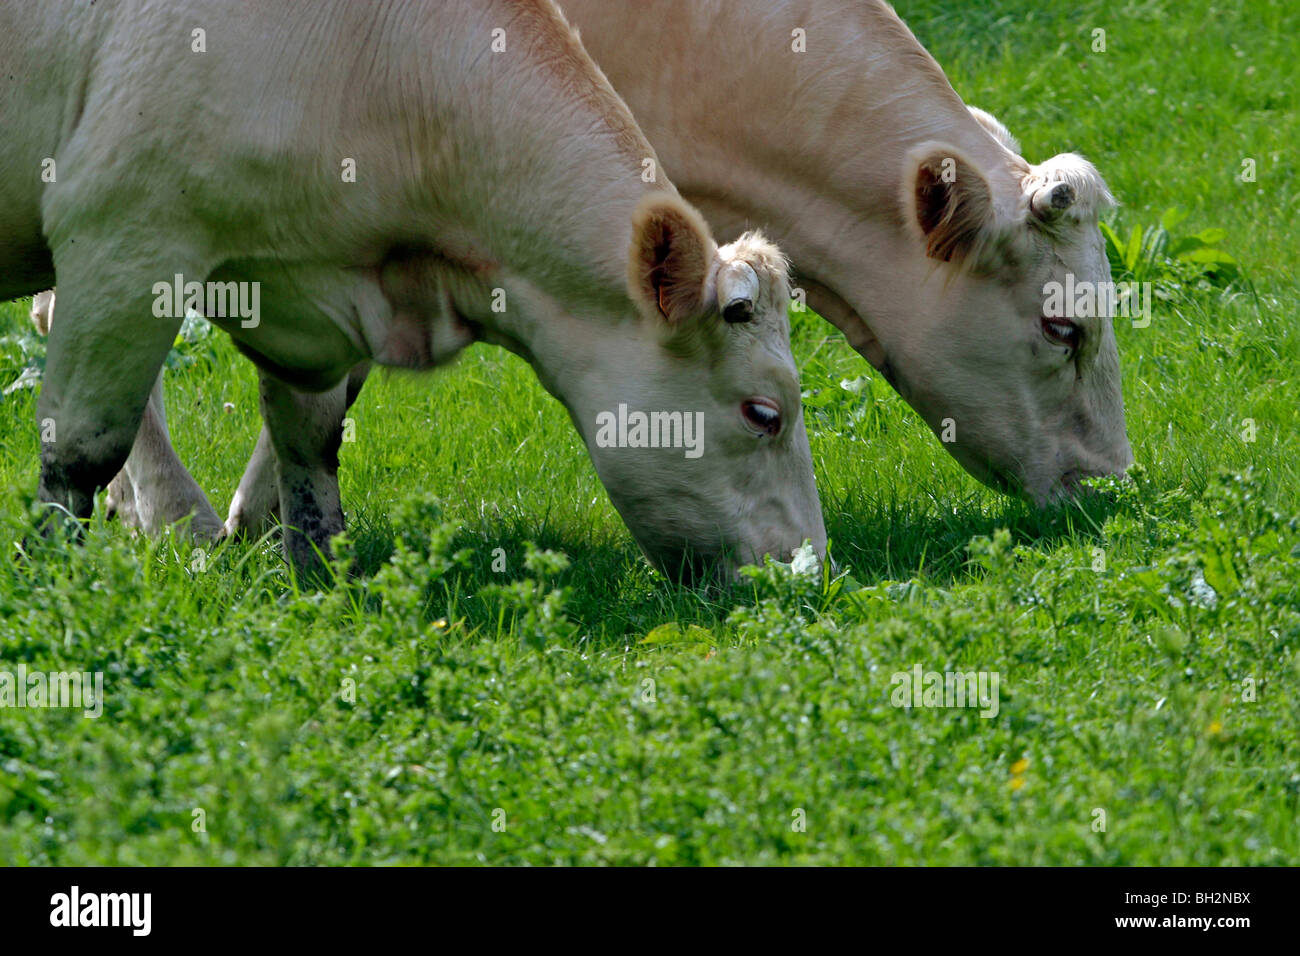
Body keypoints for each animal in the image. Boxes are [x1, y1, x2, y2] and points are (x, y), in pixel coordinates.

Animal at [0, 0, 826, 582]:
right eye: (764, 413)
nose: (811, 575)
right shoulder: (123, 231)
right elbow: (79, 444)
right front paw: (51, 576)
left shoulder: (306, 294)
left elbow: (311, 441)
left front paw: (321, 573)